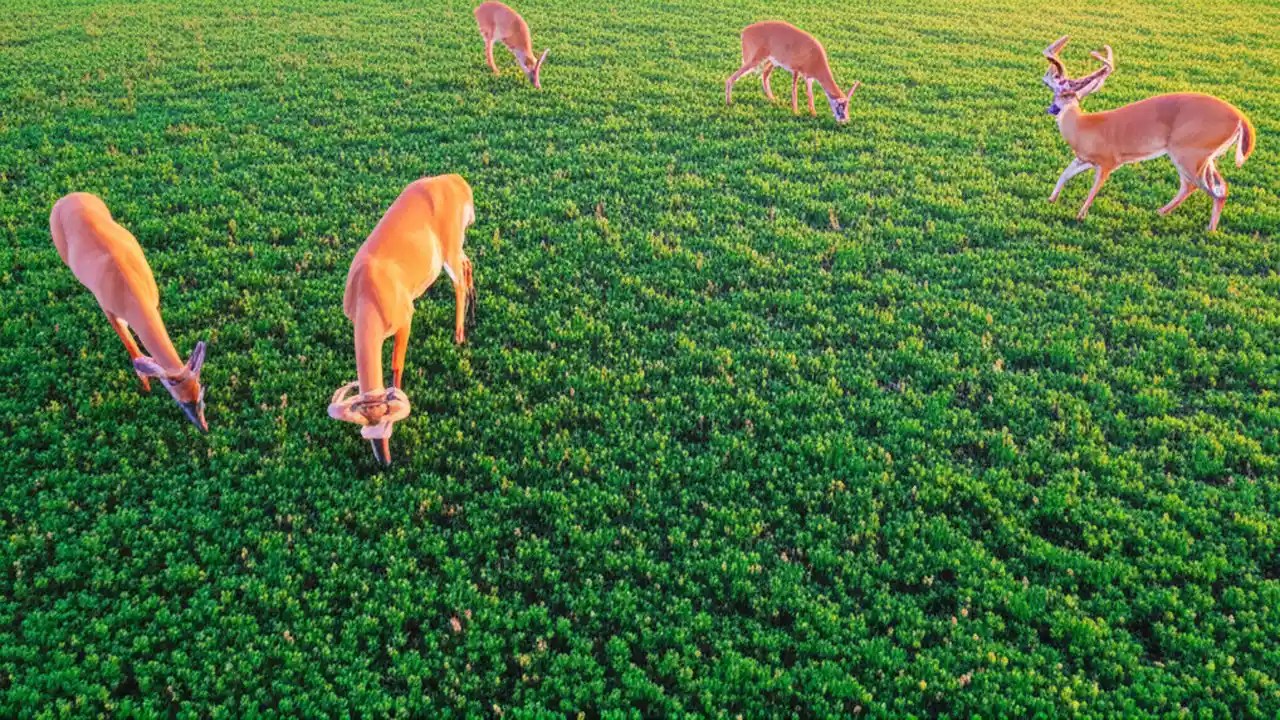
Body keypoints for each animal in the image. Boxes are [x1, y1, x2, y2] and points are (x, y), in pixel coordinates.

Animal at [49, 192, 208, 431]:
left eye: (200, 397)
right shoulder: (108, 308)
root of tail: (66, 197)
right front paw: (145, 383)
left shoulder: (154, 302)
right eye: (181, 403)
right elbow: (130, 345)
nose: (204, 428)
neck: (130, 291)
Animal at [328, 175, 476, 465]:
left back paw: (459, 335)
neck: (368, 296)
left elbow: (396, 366)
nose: (385, 461)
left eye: (388, 426)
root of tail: (459, 182)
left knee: (459, 283)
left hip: (451, 246)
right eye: (365, 433)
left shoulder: (406, 315)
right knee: (468, 265)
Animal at [725, 21, 861, 123]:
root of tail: (744, 31)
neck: (815, 59)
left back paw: (773, 99)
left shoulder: (809, 77)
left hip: (772, 60)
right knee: (731, 78)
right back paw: (729, 102)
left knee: (764, 74)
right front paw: (796, 112)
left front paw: (813, 113)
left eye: (847, 106)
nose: (845, 120)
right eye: (841, 106)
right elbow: (794, 90)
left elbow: (810, 95)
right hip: (755, 59)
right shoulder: (796, 70)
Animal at [1042, 36, 1255, 231]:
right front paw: (1051, 199)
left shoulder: (1109, 160)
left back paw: (1206, 229)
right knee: (1216, 186)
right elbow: (1065, 173)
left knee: (1202, 187)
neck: (1084, 128)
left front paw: (1080, 215)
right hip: (1204, 155)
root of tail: (1241, 119)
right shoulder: (1085, 158)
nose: (1051, 109)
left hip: (1189, 151)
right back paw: (1164, 213)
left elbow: (1094, 189)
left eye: (1062, 94)